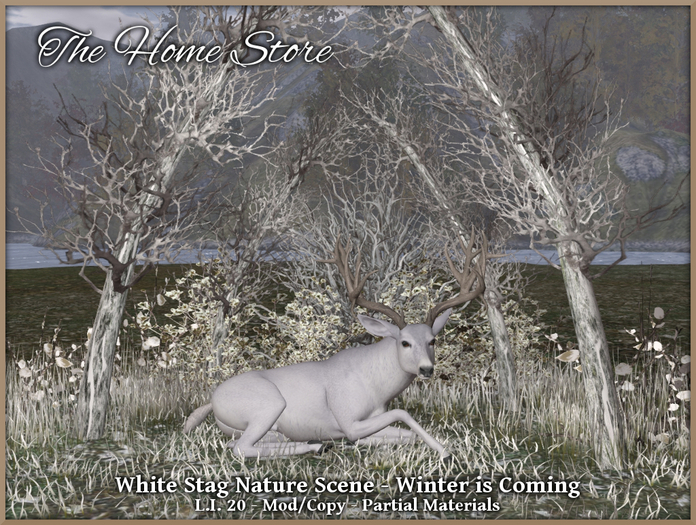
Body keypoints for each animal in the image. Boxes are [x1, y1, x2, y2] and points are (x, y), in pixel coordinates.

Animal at [184, 232, 487, 460]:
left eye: (432, 340)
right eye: (404, 342)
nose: (426, 369)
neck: (374, 385)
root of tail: (212, 400)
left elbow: (404, 434)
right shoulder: (348, 420)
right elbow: (401, 413)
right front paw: (443, 450)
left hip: (263, 425)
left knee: (240, 443)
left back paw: (314, 444)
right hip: (269, 404)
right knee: (240, 448)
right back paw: (315, 445)